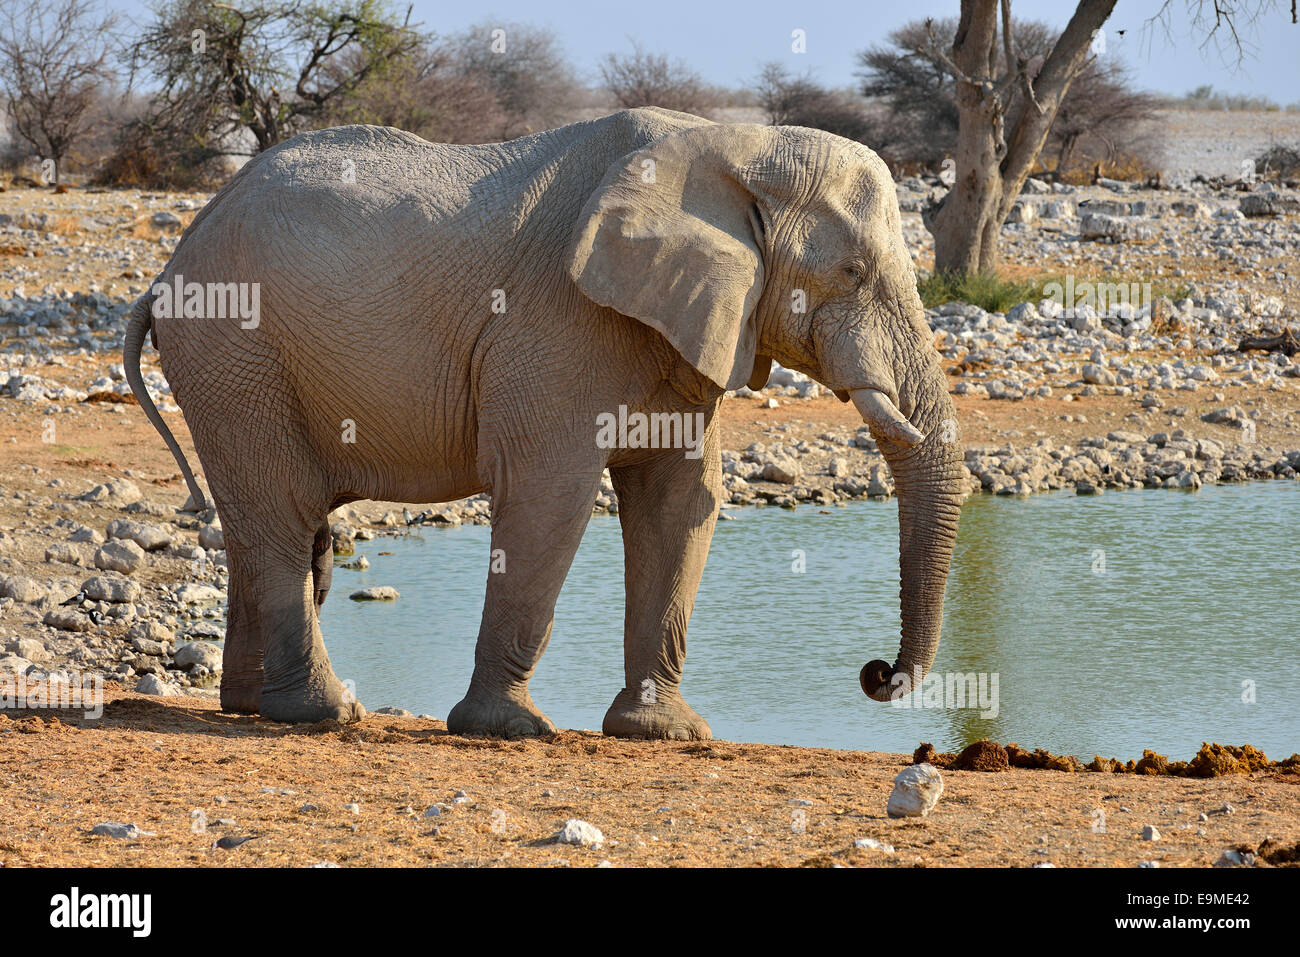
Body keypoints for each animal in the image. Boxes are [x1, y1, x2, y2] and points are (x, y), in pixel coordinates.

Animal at [124, 106, 965, 739]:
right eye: (852, 273)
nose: (875, 672)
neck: (734, 143)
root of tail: (168, 268)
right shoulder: (560, 322)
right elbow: (550, 496)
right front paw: (508, 729)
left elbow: (681, 501)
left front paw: (663, 733)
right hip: (237, 353)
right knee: (283, 513)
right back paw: (322, 713)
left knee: (260, 521)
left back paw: (248, 705)